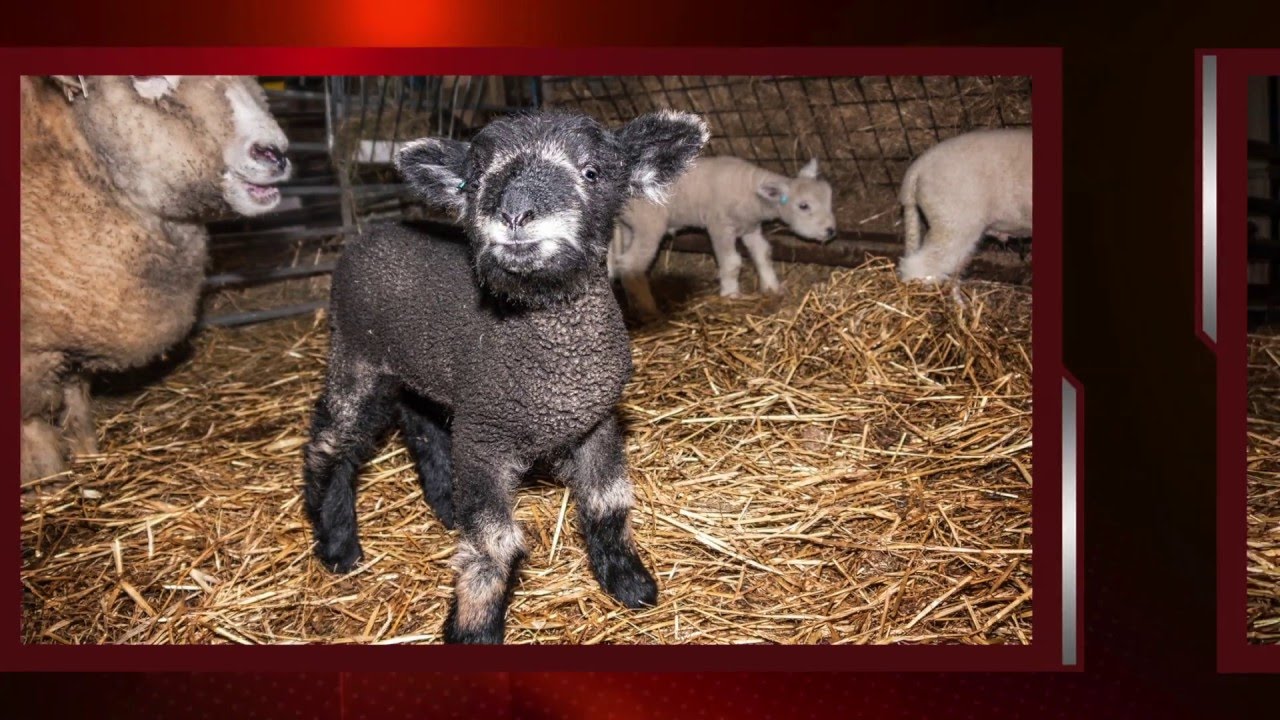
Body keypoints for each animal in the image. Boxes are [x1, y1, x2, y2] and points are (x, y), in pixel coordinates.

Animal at [21, 75, 291, 487]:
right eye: (147, 79)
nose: (274, 152)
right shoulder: (30, 356)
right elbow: (36, 437)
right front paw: (46, 486)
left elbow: (78, 405)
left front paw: (88, 456)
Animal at [302, 108, 710, 644]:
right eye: (472, 182)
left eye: (592, 171)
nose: (515, 214)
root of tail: (370, 232)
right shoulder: (484, 438)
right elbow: (492, 546)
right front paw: (474, 630)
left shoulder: (594, 425)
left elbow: (608, 502)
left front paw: (629, 582)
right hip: (357, 353)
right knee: (330, 442)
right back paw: (337, 545)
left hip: (420, 366)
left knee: (421, 424)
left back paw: (443, 503)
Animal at [606, 156, 837, 322]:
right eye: (803, 206)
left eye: (829, 199)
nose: (831, 231)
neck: (750, 190)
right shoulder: (719, 226)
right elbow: (732, 262)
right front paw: (731, 294)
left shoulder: (750, 227)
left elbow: (762, 253)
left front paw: (771, 287)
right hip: (649, 225)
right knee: (631, 265)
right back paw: (650, 311)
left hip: (629, 227)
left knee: (619, 262)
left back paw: (632, 305)